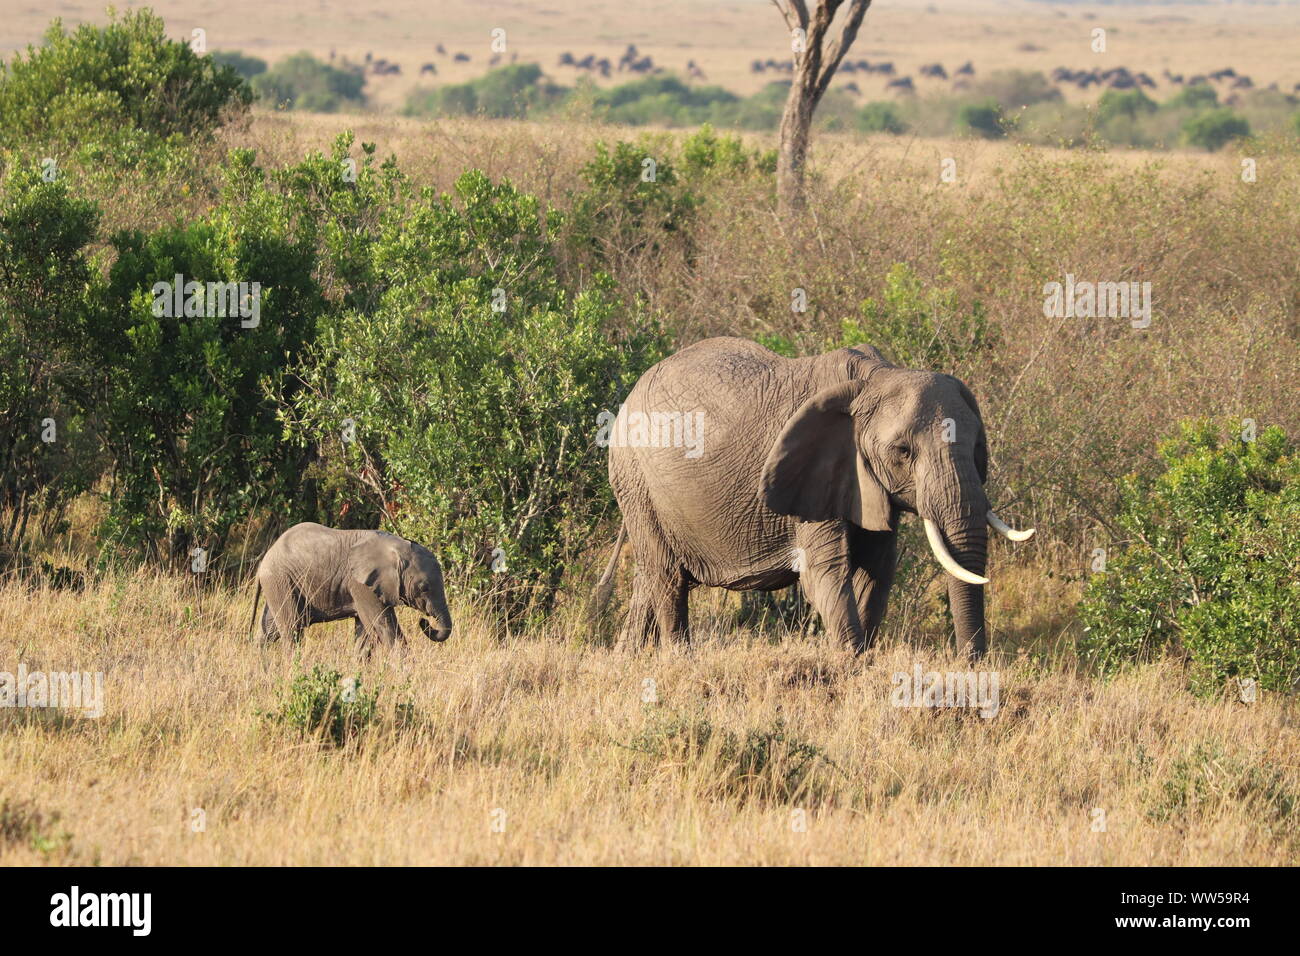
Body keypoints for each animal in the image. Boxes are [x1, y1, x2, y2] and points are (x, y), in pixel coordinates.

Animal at [250, 523, 453, 653]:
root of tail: (267, 556)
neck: (396, 545)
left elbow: (365, 633)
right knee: (292, 629)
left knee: (269, 631)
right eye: (424, 588)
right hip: (280, 580)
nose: (424, 622)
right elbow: (384, 626)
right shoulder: (361, 585)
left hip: (282, 584)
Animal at [594, 337, 1033, 659]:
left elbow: (877, 572)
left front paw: (859, 660)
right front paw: (852, 663)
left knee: (651, 577)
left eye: (978, 447)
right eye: (903, 452)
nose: (970, 663)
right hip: (635, 479)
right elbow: (826, 572)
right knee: (667, 577)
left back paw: (627, 661)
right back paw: (680, 660)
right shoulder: (812, 475)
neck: (878, 377)